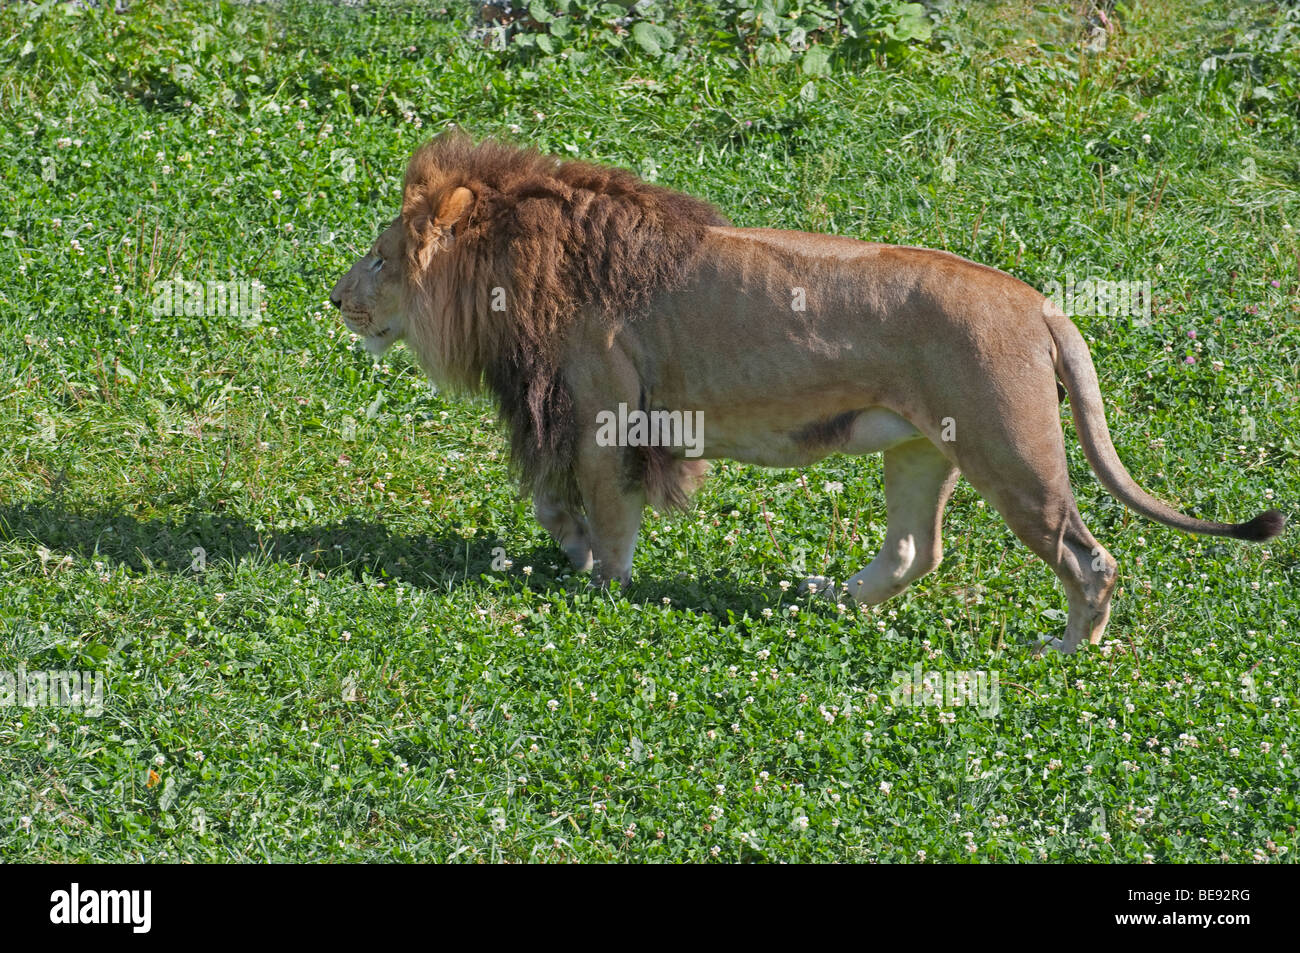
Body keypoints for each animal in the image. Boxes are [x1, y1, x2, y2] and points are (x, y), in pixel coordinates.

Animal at [329, 133, 1285, 654]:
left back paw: (1064, 650)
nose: (335, 300)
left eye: (378, 256)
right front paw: (568, 555)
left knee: (1089, 557)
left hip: (1012, 452)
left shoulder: (605, 412)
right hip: (922, 446)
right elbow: (552, 502)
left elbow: (606, 512)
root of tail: (1041, 303)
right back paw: (818, 599)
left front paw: (599, 586)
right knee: (916, 551)